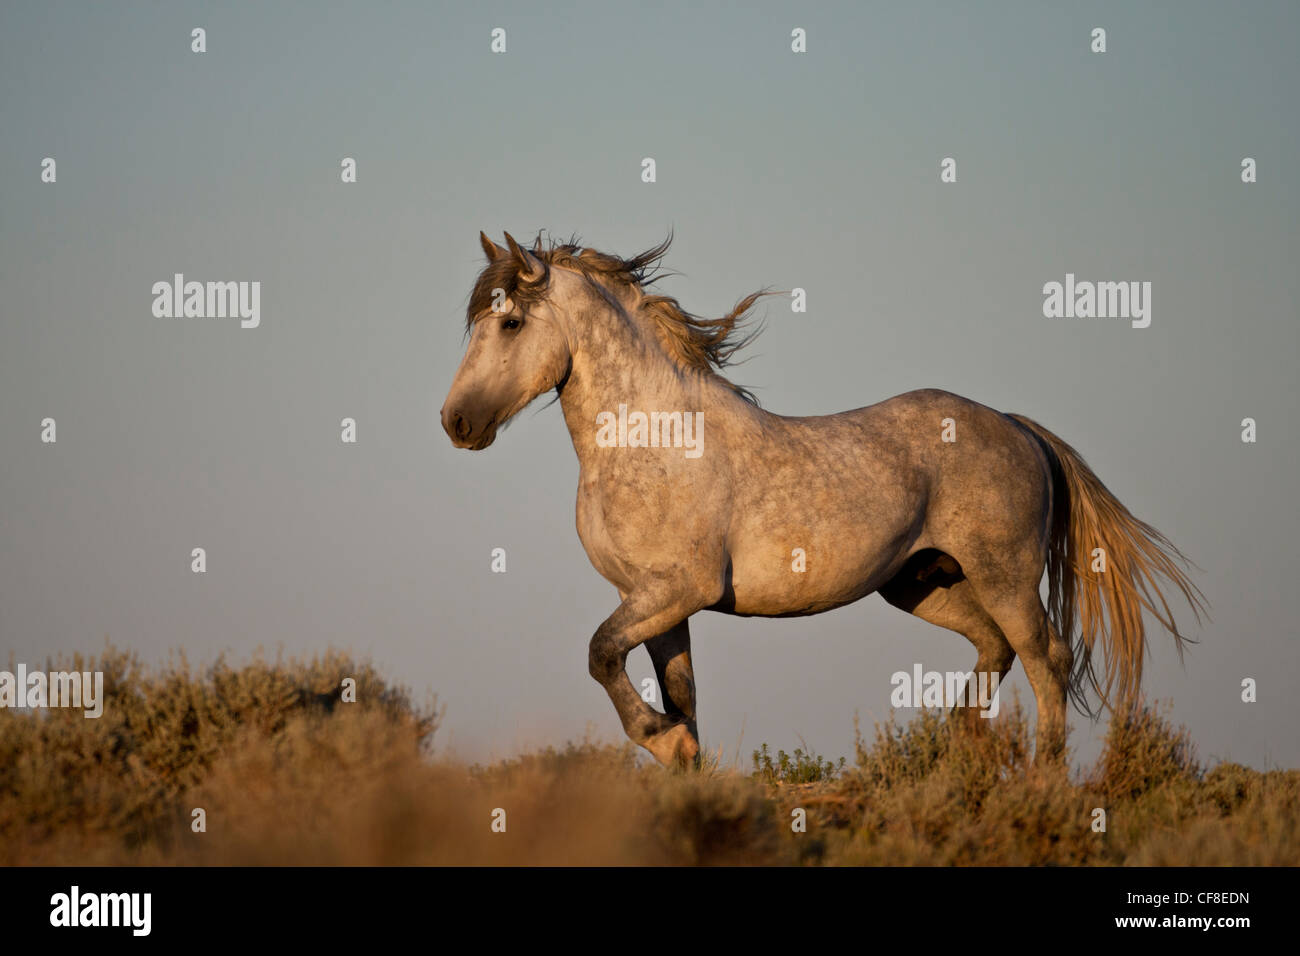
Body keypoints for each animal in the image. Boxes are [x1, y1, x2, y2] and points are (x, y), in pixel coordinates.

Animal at [441, 231, 1206, 767]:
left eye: (511, 324)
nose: (457, 423)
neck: (652, 440)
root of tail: (1017, 426)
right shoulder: (655, 603)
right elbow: (682, 699)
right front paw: (683, 763)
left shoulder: (677, 589)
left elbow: (601, 655)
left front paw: (660, 740)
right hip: (920, 584)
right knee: (996, 649)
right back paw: (950, 759)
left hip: (1005, 575)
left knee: (1047, 660)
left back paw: (1041, 784)